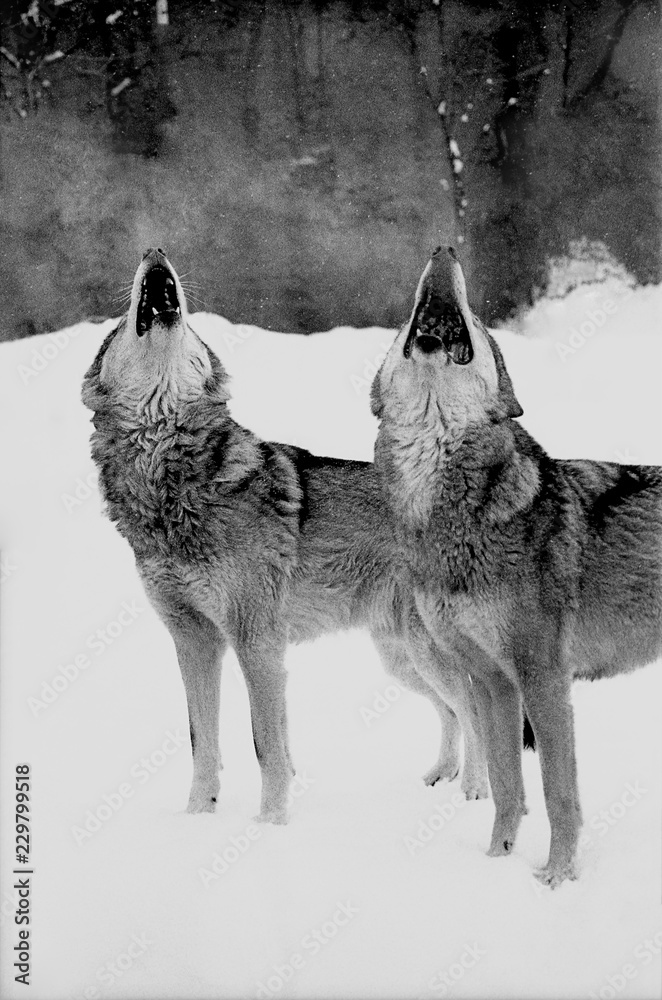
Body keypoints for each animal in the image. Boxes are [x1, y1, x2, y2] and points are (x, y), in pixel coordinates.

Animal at [82, 248, 487, 825]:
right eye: (119, 328)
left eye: (194, 332)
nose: (155, 253)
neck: (176, 485)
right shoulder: (192, 641)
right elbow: (202, 743)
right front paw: (196, 821)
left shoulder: (258, 643)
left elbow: (267, 748)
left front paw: (270, 825)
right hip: (402, 660)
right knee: (452, 709)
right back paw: (441, 777)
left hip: (425, 653)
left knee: (474, 705)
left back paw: (474, 794)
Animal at [371, 245, 662, 886]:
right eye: (407, 324)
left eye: (478, 323)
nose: (445, 249)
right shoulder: (491, 681)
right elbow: (507, 788)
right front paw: (496, 865)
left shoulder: (543, 678)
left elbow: (557, 793)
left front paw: (556, 879)